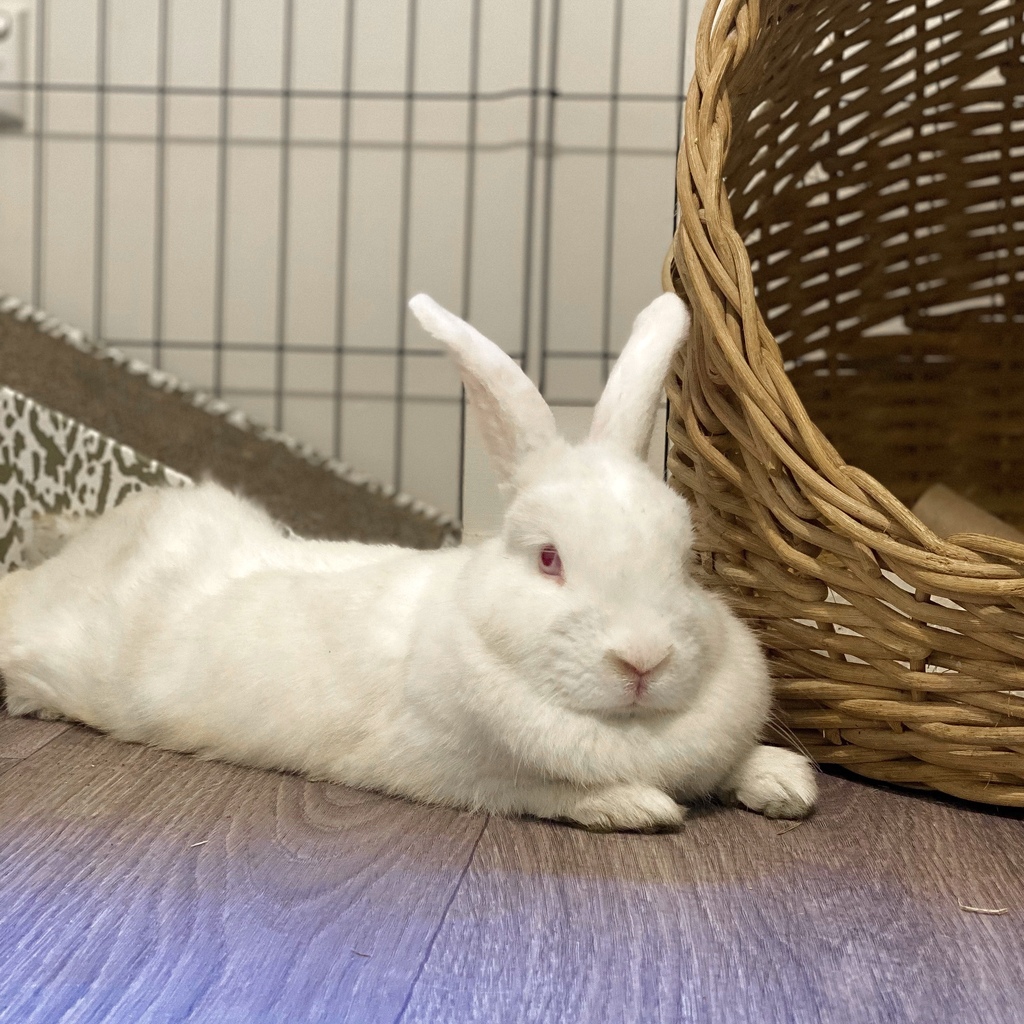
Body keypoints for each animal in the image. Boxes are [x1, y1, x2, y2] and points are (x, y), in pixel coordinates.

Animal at [0, 292, 816, 832]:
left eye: (682, 561)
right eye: (549, 559)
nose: (643, 660)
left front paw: (786, 783)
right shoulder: (465, 774)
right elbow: (557, 793)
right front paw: (641, 806)